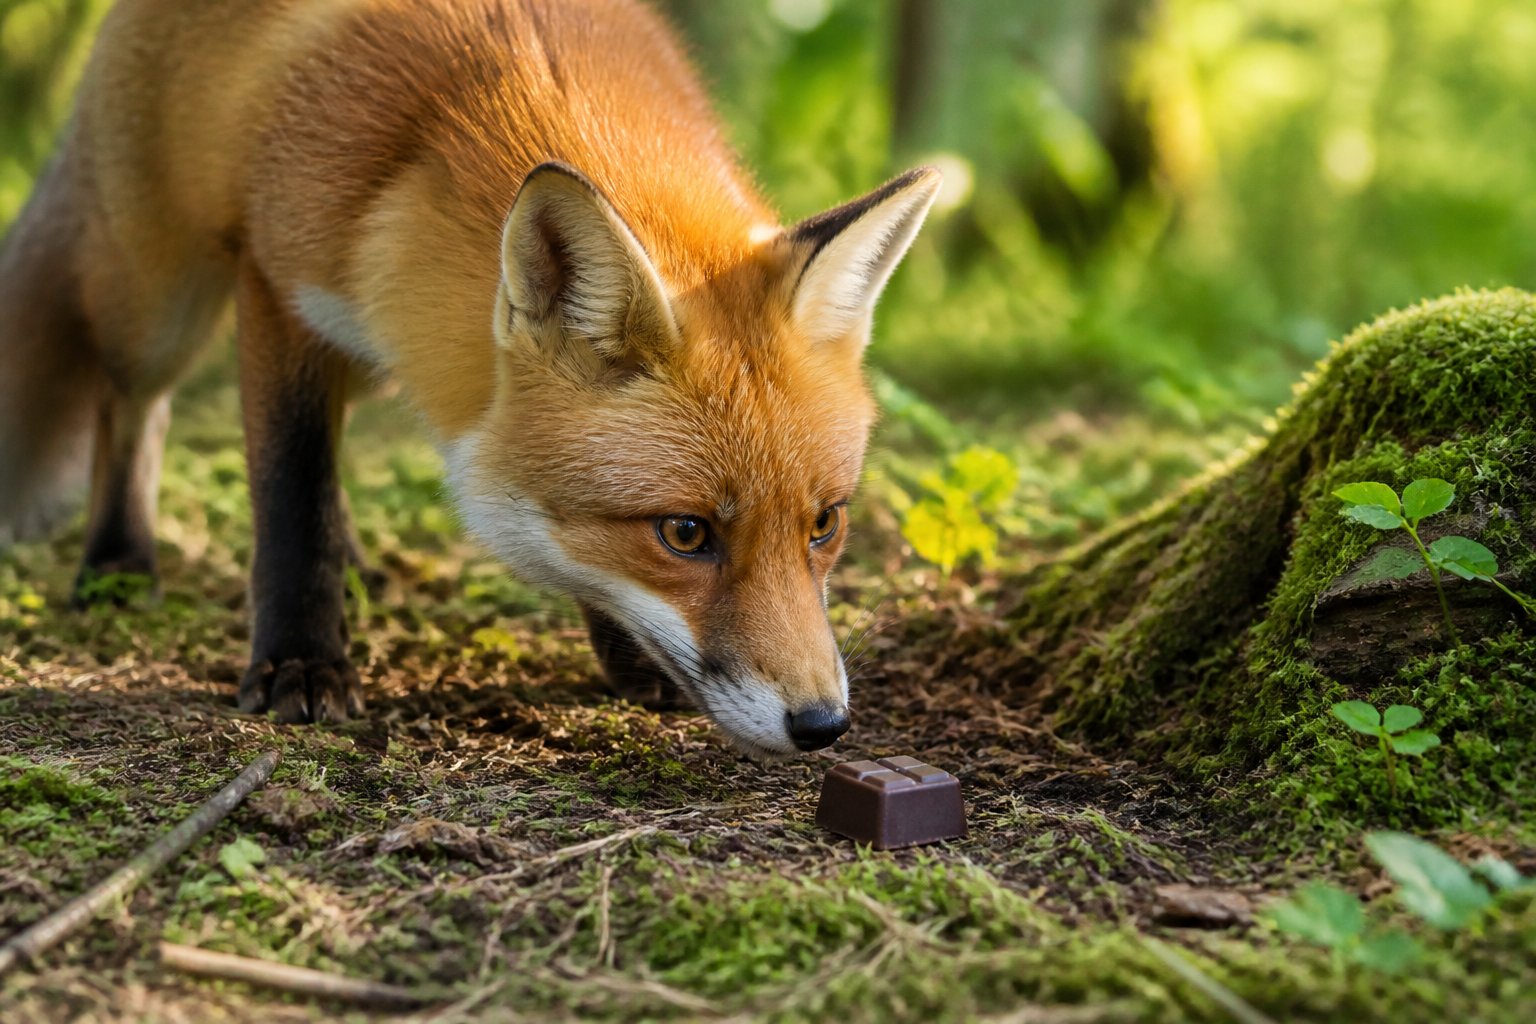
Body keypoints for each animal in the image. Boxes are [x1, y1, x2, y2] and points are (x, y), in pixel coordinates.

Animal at [0, 0, 940, 758]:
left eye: (825, 523)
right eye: (684, 534)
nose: (823, 726)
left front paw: (627, 652)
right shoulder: (277, 287)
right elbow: (291, 491)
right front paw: (302, 660)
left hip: (374, 362)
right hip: (161, 299)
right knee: (132, 402)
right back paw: (120, 563)